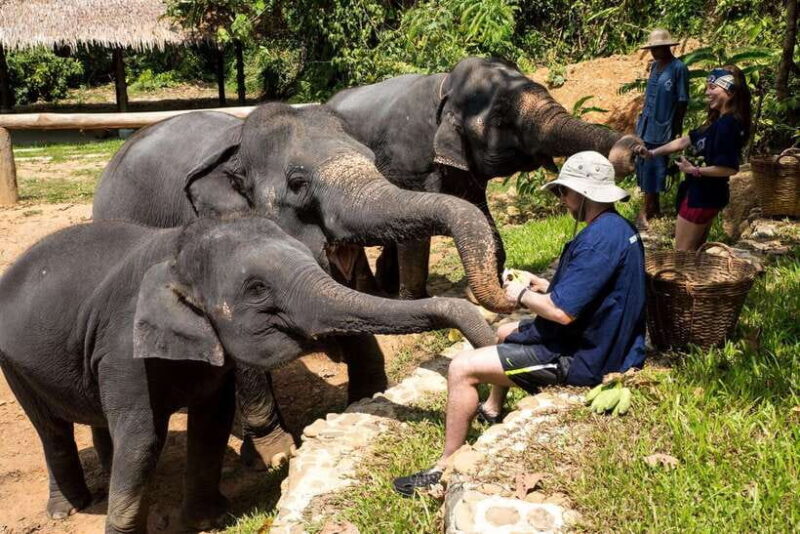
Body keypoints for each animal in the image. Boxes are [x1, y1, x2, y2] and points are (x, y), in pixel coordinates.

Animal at [0, 216, 496, 534]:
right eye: (257, 289)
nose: (489, 413)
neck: (176, 248)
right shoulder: (123, 348)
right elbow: (142, 439)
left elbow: (211, 422)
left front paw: (208, 520)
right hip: (14, 366)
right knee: (52, 431)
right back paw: (68, 510)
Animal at [92, 102, 511, 470]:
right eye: (297, 183)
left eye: (372, 161)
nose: (506, 291)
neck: (236, 145)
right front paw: (275, 455)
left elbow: (344, 293)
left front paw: (369, 398)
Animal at [327, 56, 644, 298]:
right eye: (502, 120)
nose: (636, 150)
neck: (443, 89)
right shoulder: (409, 162)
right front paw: (418, 301)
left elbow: (478, 209)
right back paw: (369, 293)